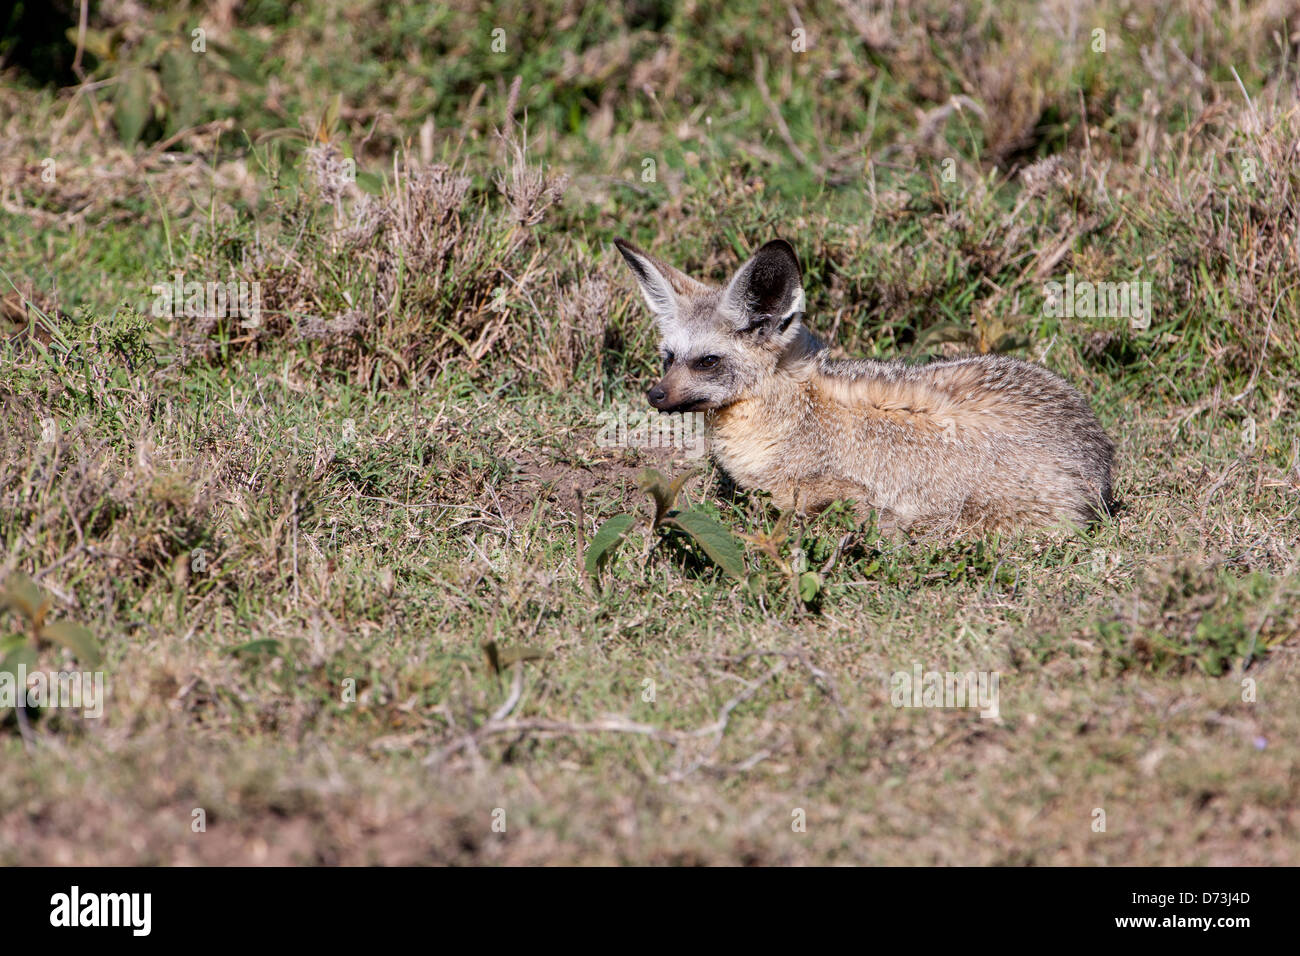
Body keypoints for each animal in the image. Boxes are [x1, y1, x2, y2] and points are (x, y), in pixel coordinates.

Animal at [613, 237, 1115, 533]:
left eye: (708, 362)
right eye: (668, 359)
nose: (654, 395)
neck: (793, 415)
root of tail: (1100, 457)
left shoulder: (826, 491)